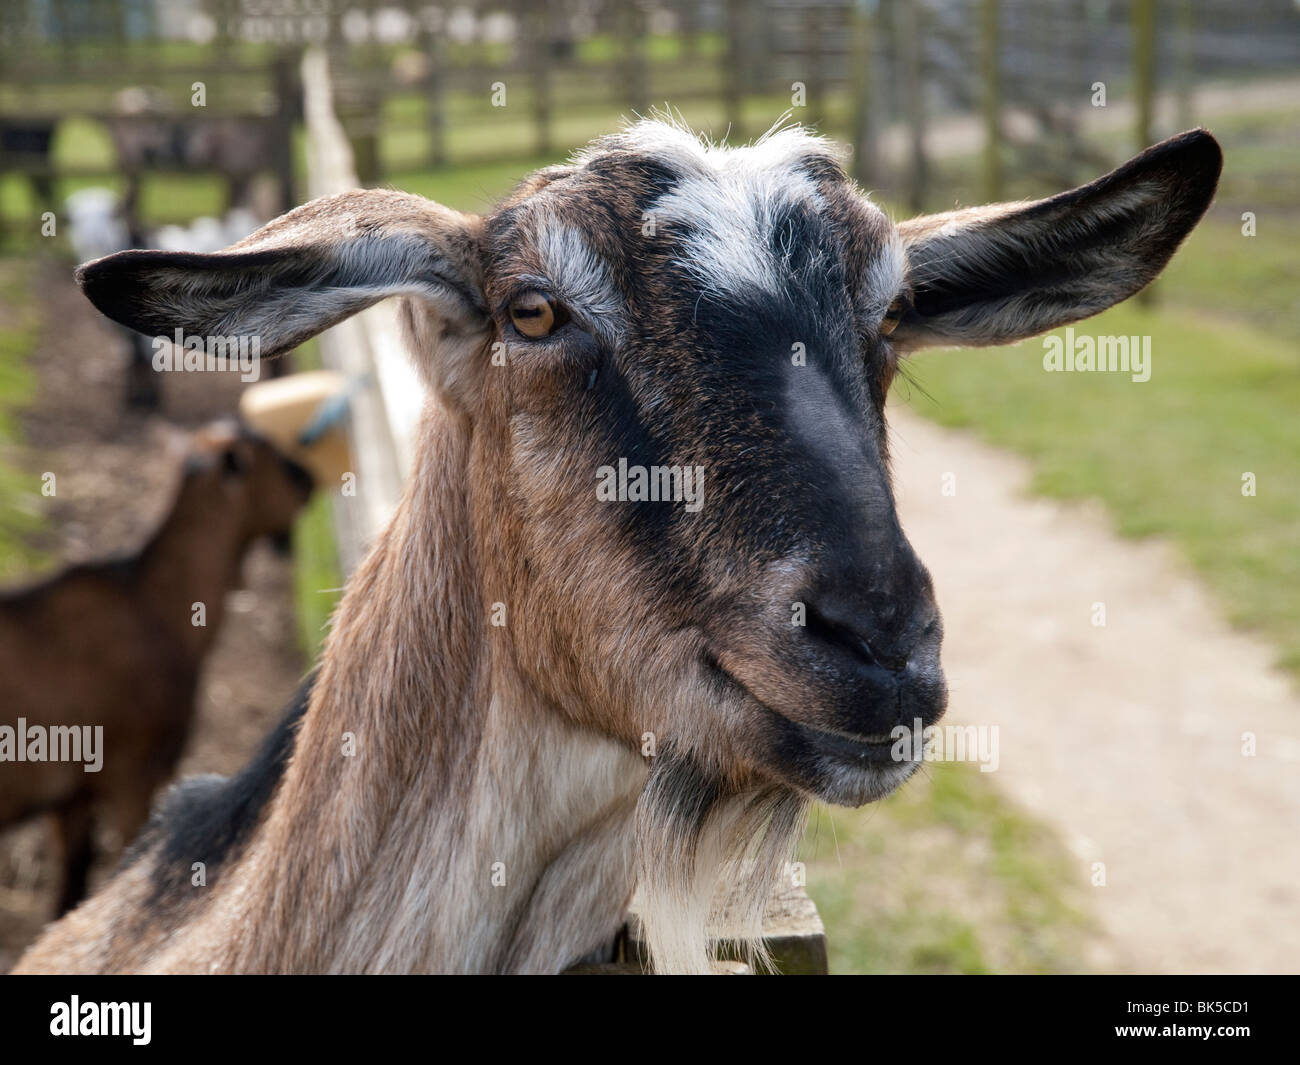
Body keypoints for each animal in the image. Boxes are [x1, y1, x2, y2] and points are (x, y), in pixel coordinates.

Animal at [0, 421, 313, 916]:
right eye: (272, 457)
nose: (309, 479)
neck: (152, 603)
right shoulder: (136, 775)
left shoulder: (71, 797)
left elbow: (70, 886)